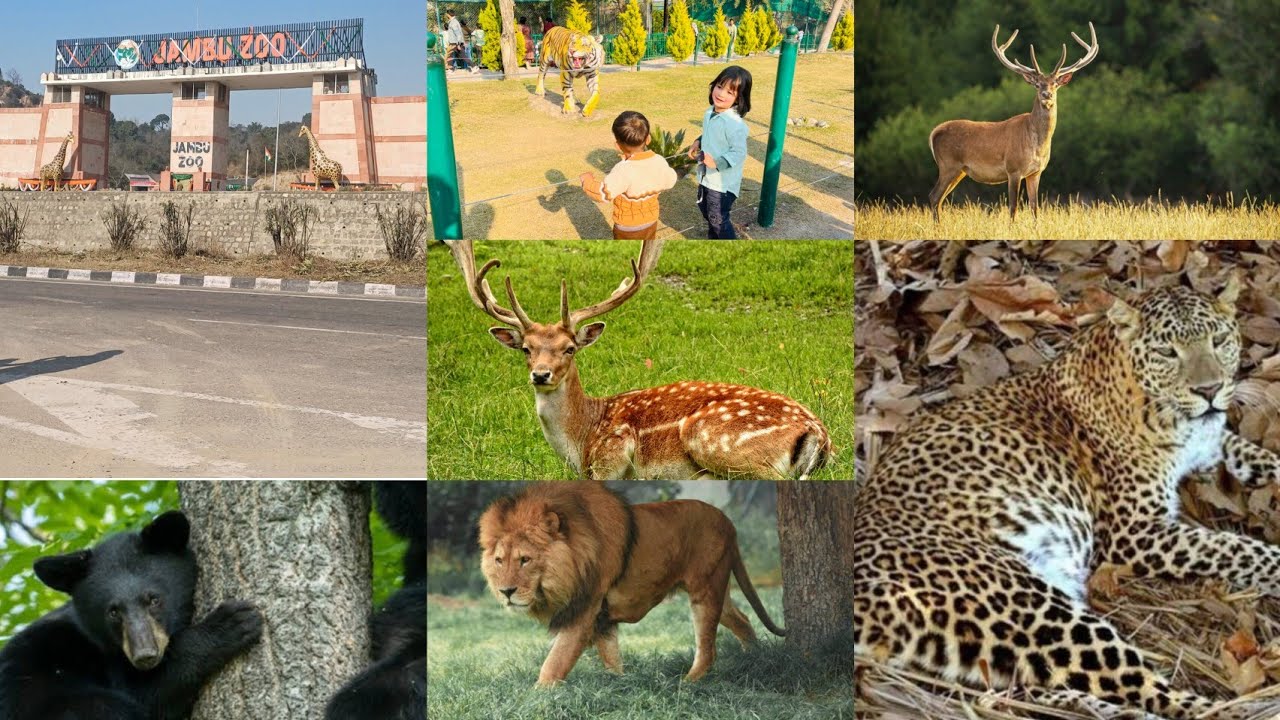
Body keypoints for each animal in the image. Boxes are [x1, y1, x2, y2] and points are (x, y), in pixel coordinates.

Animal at [854, 275, 1280, 719]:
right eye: (1167, 352)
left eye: (1219, 340)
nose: (1210, 390)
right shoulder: (1134, 532)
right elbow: (1235, 549)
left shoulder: (1213, 446)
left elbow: (1262, 459)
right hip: (1030, 606)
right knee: (1154, 691)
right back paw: (1243, 710)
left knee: (1020, 689)